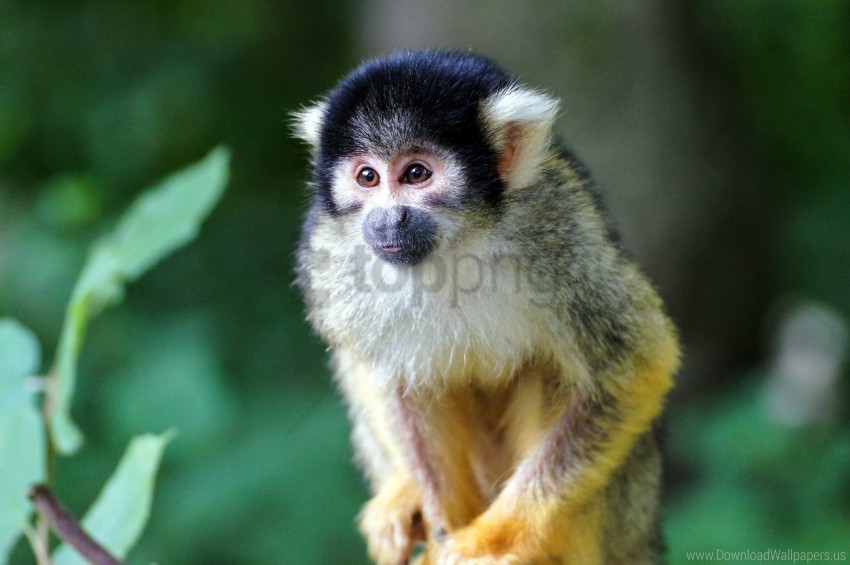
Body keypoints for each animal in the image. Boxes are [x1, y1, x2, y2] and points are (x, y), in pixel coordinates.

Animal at [293, 51, 679, 564]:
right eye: (367, 177)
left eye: (416, 174)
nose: (388, 218)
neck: (455, 247)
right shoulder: (327, 252)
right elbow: (398, 382)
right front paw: (441, 532)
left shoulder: (558, 229)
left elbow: (635, 363)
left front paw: (492, 540)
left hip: (629, 516)